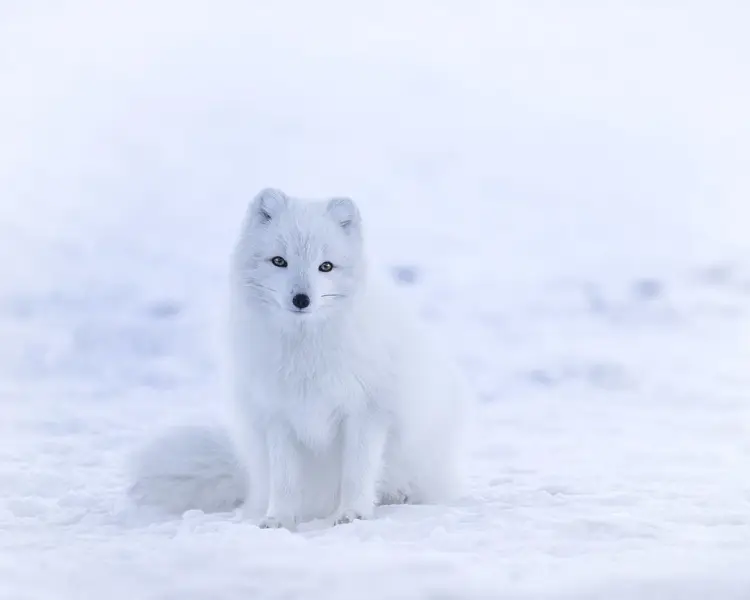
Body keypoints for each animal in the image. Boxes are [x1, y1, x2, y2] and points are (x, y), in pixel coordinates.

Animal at [129, 188, 471, 529]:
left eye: (326, 266)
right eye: (279, 261)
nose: (301, 299)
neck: (304, 351)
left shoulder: (366, 412)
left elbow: (357, 473)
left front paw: (352, 514)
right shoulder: (278, 416)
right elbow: (285, 480)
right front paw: (278, 519)